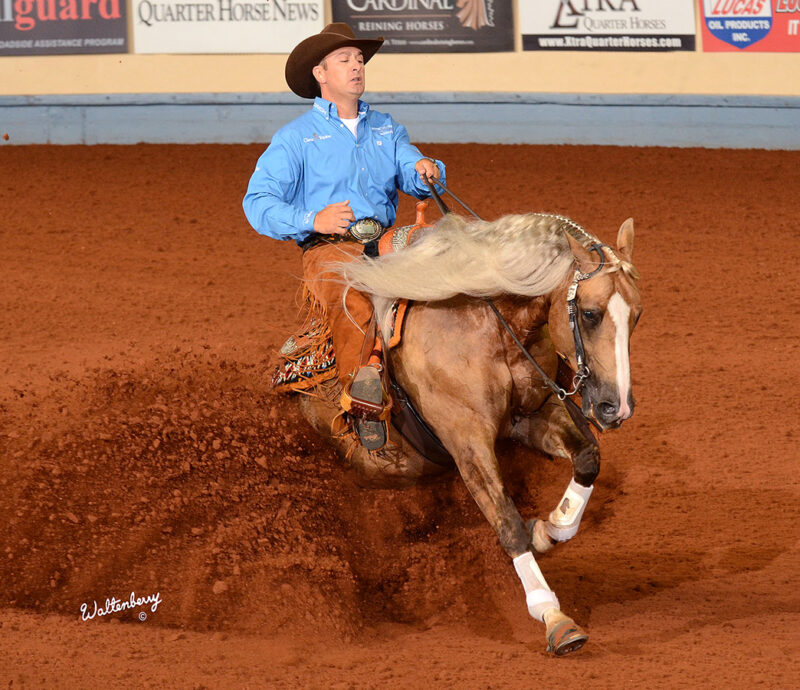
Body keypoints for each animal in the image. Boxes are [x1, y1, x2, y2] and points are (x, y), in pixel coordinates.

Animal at [297, 211, 642, 655]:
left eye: (637, 315)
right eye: (590, 313)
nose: (617, 407)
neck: (489, 328)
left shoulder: (532, 415)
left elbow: (587, 457)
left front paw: (550, 529)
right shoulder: (468, 442)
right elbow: (507, 522)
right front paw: (553, 616)